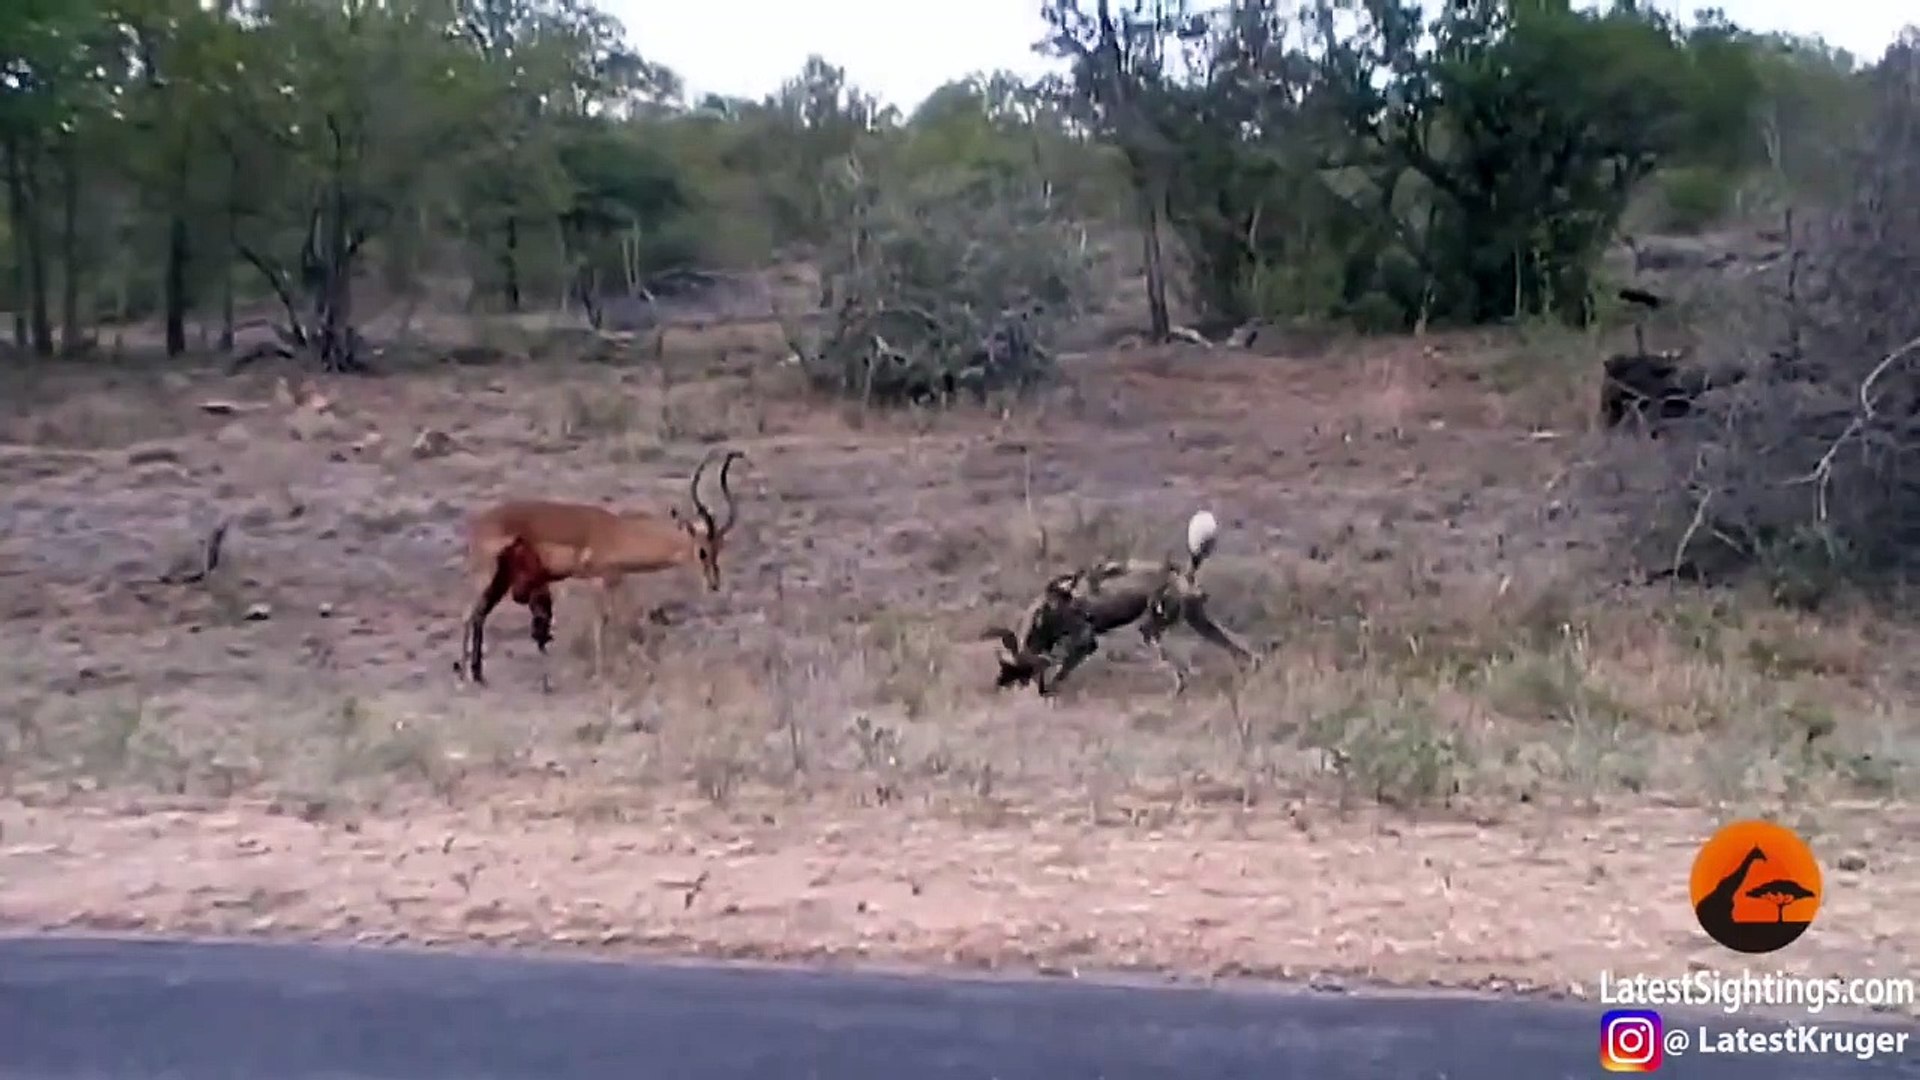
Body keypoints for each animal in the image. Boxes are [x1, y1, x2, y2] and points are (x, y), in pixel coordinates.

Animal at [454, 448, 746, 688]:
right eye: (702, 551)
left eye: (720, 548)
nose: (714, 583)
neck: (618, 533)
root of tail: (478, 524)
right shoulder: (598, 580)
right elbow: (601, 622)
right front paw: (601, 674)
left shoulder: (615, 580)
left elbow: (622, 620)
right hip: (487, 574)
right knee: (468, 614)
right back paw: (465, 677)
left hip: (502, 578)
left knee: (479, 614)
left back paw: (478, 675)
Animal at [985, 510, 1257, 697]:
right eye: (1003, 668)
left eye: (1011, 668)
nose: (997, 685)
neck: (1045, 613)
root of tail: (1183, 573)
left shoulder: (1085, 643)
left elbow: (1059, 674)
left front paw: (1049, 695)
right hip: (1198, 622)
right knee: (1243, 650)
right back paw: (1250, 674)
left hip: (1150, 630)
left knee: (1181, 673)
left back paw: (1178, 691)